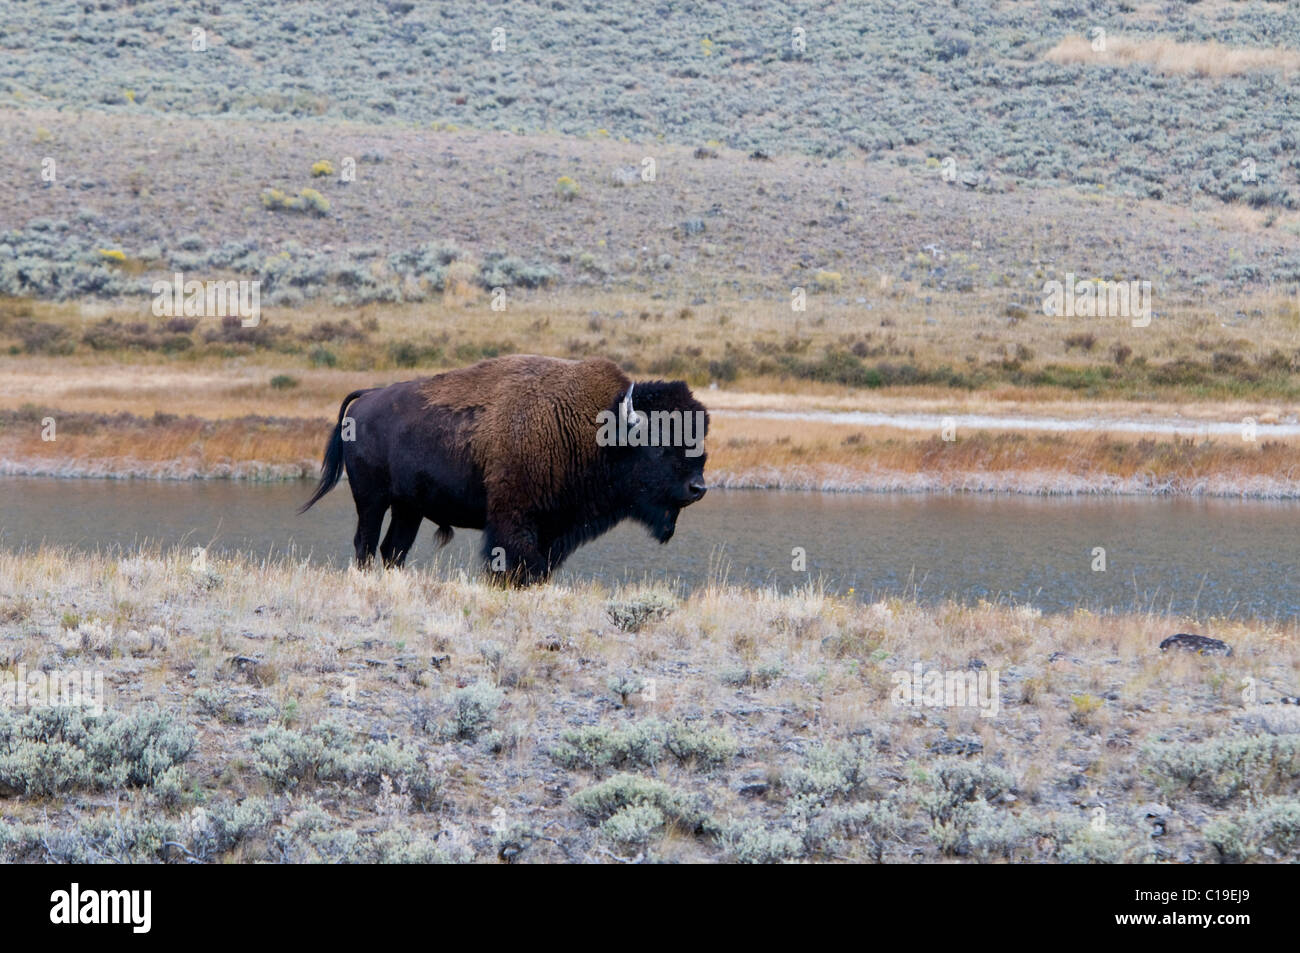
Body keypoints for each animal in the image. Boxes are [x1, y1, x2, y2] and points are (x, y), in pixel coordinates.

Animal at [299, 354, 709, 584]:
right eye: (660, 445)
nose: (698, 488)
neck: (595, 428)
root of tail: (367, 397)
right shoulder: (514, 520)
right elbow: (519, 563)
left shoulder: (554, 529)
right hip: (371, 500)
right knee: (366, 544)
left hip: (408, 509)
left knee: (392, 550)